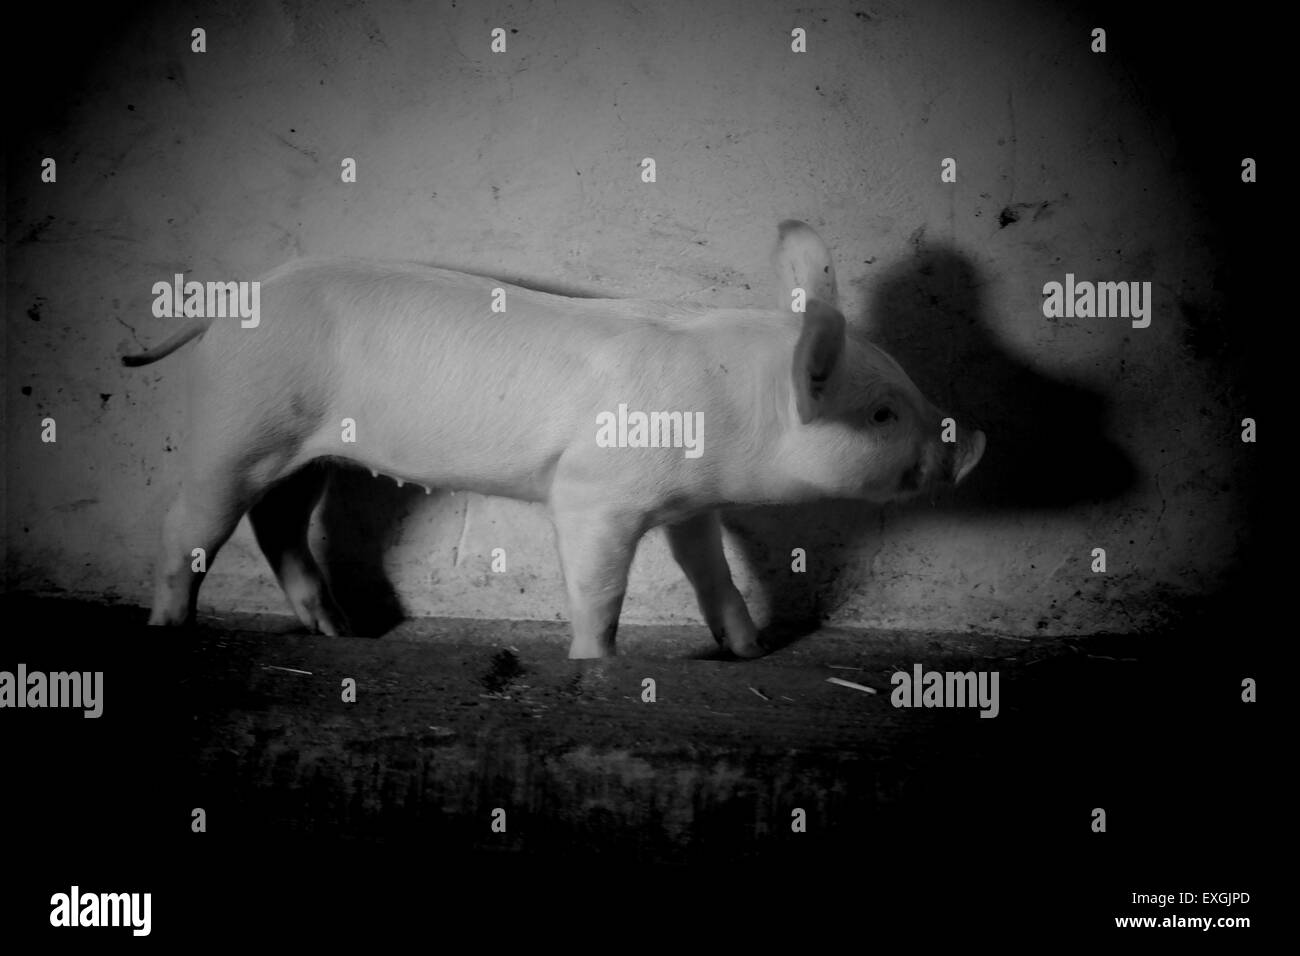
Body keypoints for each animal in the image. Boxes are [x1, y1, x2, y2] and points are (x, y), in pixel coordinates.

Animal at [122, 221, 985, 659]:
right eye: (881, 414)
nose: (972, 439)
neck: (729, 410)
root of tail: (230, 303)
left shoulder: (688, 503)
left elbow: (712, 574)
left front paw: (745, 650)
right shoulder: (594, 494)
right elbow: (601, 587)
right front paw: (594, 662)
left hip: (310, 451)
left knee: (281, 522)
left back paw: (339, 632)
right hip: (238, 425)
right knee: (186, 523)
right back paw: (172, 629)